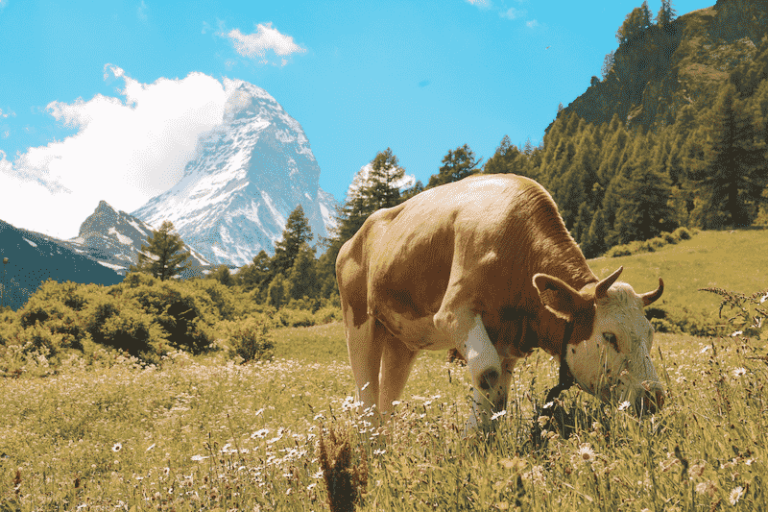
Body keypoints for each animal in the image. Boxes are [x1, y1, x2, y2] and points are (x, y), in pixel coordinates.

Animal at [336, 174, 665, 432]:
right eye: (609, 336)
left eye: (650, 334)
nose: (655, 398)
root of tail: (353, 240)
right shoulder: (454, 313)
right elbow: (487, 374)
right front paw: (470, 442)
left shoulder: (508, 340)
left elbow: (500, 396)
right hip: (359, 324)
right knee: (366, 394)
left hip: (401, 342)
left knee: (386, 398)